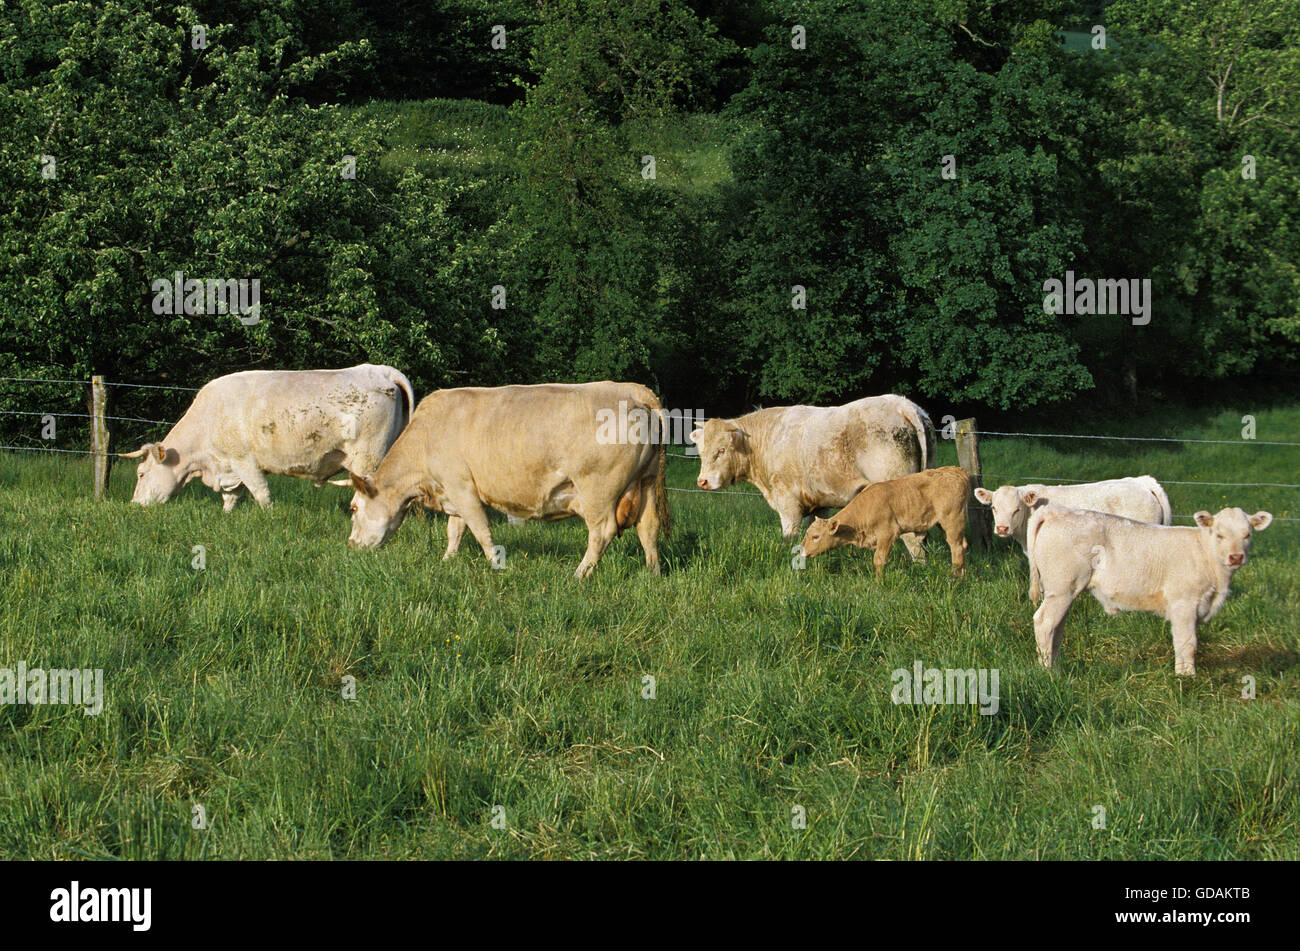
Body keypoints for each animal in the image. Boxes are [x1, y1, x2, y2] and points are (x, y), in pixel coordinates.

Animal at [120, 364, 413, 511]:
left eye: (141, 474)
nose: (134, 505)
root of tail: (381, 370)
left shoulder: (244, 461)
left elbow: (261, 494)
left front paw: (268, 517)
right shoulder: (229, 467)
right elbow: (231, 497)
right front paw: (226, 515)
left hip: (368, 457)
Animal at [344, 381, 670, 578]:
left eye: (354, 508)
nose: (351, 545)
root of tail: (633, 391)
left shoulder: (462, 488)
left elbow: (480, 530)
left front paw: (497, 564)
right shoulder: (453, 491)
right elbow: (455, 530)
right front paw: (447, 560)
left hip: (597, 490)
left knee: (601, 531)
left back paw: (579, 575)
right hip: (646, 481)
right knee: (648, 528)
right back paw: (652, 574)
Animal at [690, 395, 935, 559]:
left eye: (721, 450)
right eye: (701, 450)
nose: (702, 481)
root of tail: (902, 403)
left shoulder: (787, 501)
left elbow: (789, 535)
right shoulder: (819, 500)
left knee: (912, 539)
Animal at [798, 466, 970, 578]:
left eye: (816, 537)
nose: (801, 550)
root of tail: (957, 471)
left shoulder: (888, 533)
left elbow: (879, 560)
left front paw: (878, 582)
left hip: (953, 520)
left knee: (956, 547)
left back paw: (955, 578)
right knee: (962, 545)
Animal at [1026, 504, 1272, 676]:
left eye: (1247, 534)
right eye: (1219, 534)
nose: (1236, 557)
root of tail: (1056, 510)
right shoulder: (1183, 604)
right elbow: (1187, 643)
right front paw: (1186, 677)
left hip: (1064, 591)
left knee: (1057, 628)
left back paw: (1056, 668)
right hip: (1062, 588)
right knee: (1044, 622)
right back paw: (1047, 671)